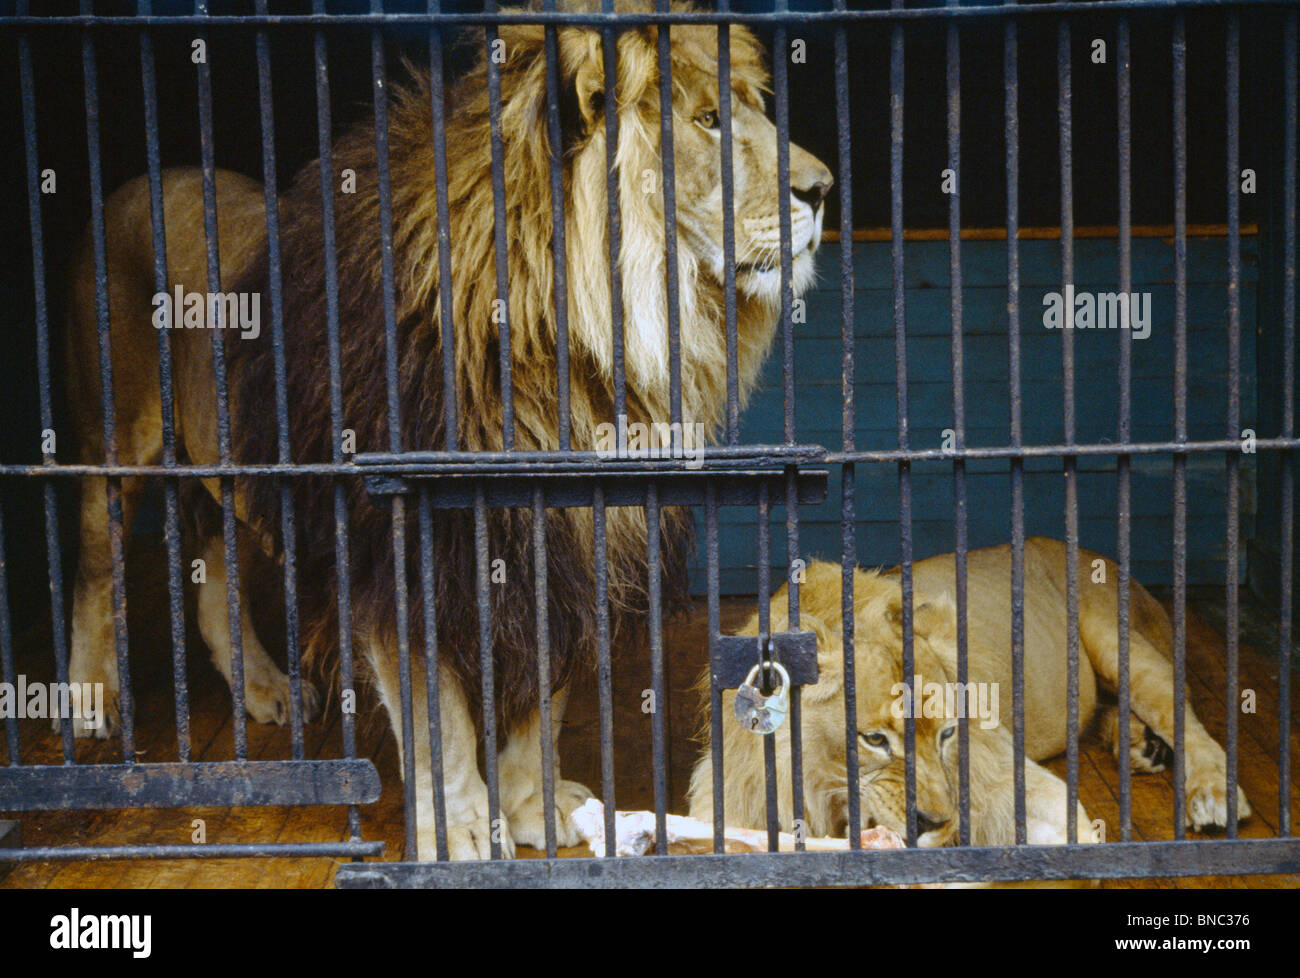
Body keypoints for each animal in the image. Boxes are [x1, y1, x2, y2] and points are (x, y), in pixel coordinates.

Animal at [64, 1, 832, 861]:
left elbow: (543, 699)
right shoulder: (402, 539)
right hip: (115, 444)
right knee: (95, 564)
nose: (823, 190)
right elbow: (437, 716)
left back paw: (264, 687)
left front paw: (534, 806)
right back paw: (91, 700)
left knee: (217, 569)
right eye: (706, 121)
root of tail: (142, 179)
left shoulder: (569, 541)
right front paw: (458, 826)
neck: (573, 349)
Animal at [688, 539, 1250, 850]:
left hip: (1117, 636)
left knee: (1181, 711)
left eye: (949, 734)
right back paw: (1139, 745)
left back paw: (1213, 792)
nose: (934, 822)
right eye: (874, 739)